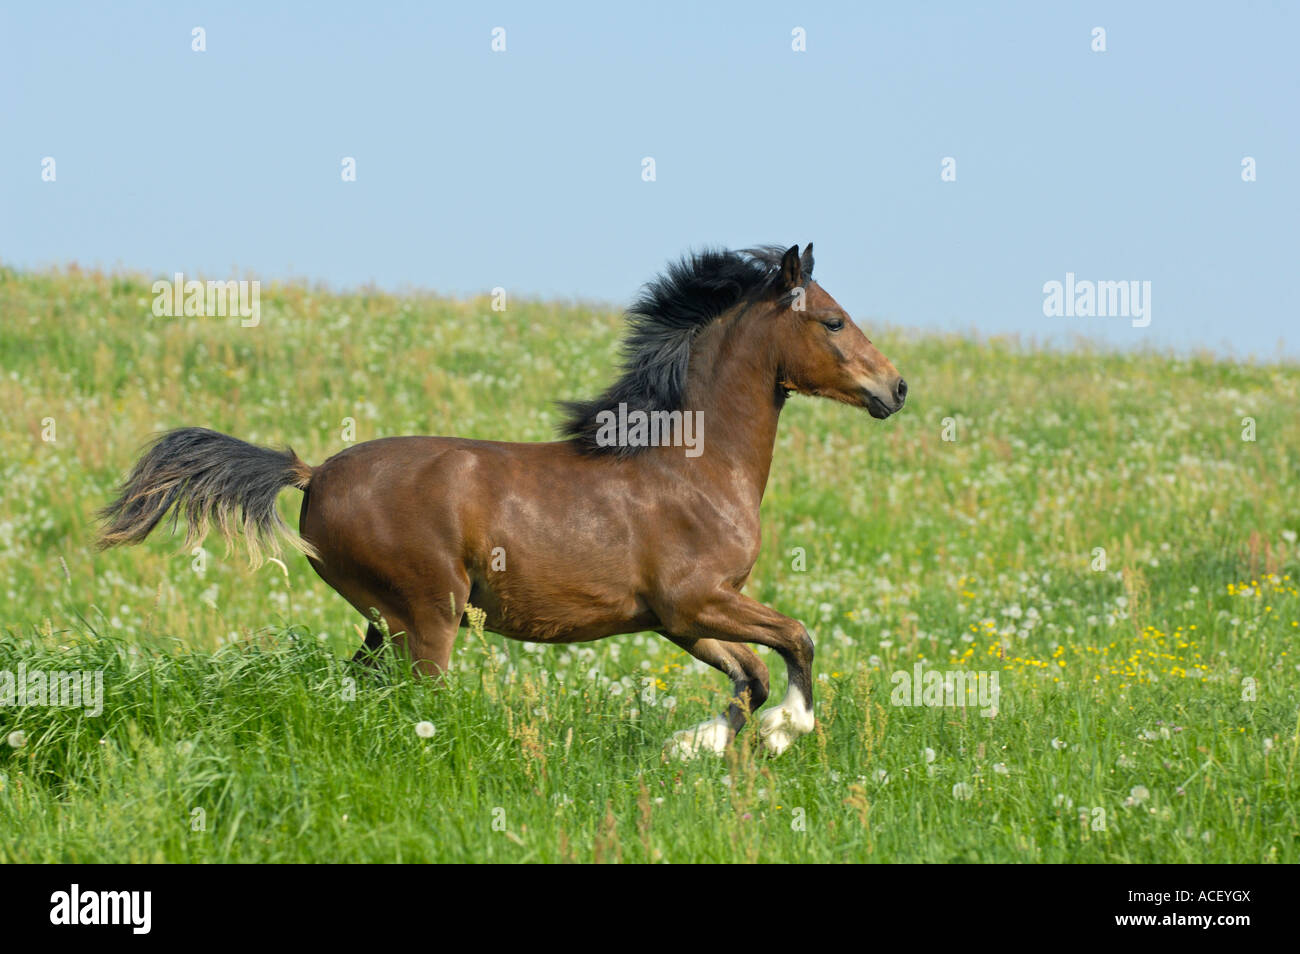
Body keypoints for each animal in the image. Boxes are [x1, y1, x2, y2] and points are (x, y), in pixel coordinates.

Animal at [98, 243, 907, 757]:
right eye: (833, 319)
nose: (895, 389)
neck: (693, 467)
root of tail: (313, 471)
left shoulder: (675, 619)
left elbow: (752, 675)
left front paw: (692, 746)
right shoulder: (697, 599)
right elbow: (797, 639)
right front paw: (786, 731)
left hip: (383, 621)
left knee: (358, 686)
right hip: (429, 612)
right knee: (417, 699)